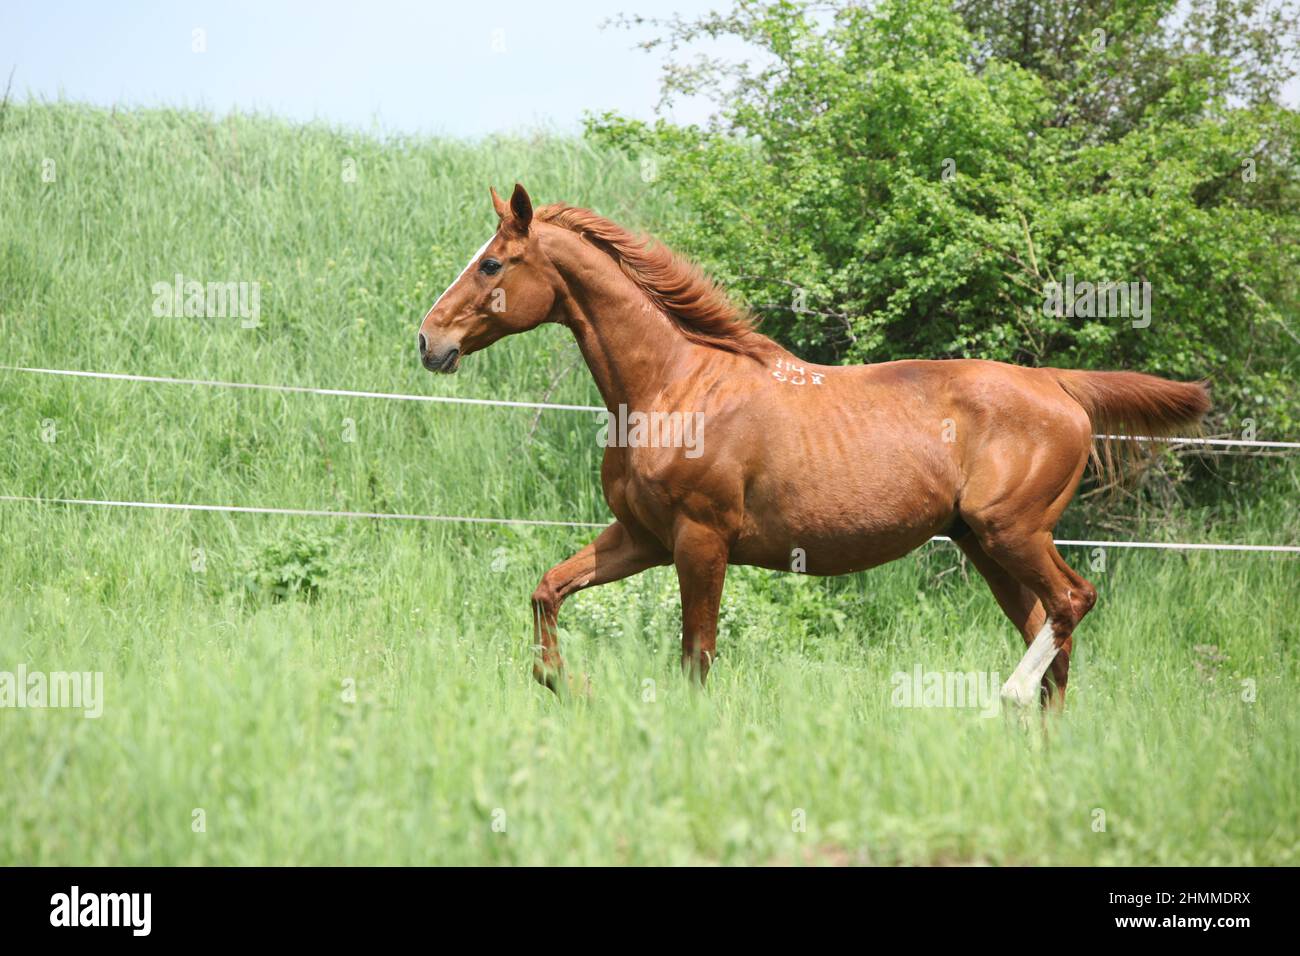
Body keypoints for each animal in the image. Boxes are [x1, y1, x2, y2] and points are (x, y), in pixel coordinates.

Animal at [417, 184, 1210, 709]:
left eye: (492, 264)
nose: (428, 341)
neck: (675, 385)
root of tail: (1062, 388)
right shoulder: (642, 537)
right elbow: (547, 591)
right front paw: (569, 684)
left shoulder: (701, 541)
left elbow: (696, 658)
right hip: (987, 546)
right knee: (1054, 633)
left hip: (1011, 532)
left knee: (1074, 602)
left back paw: (1005, 701)